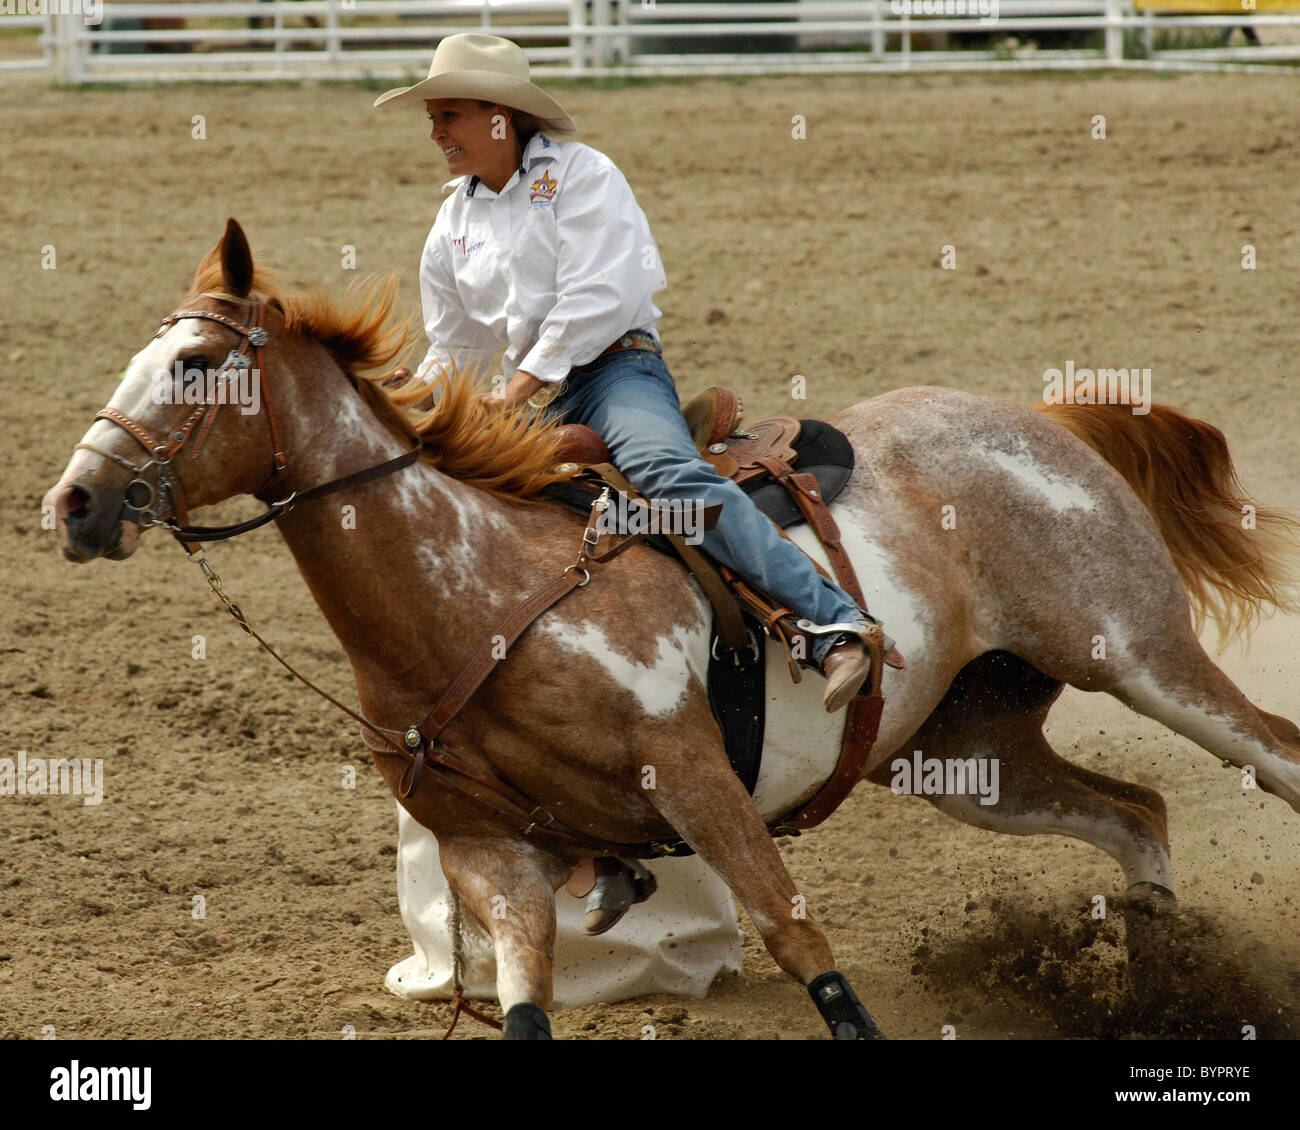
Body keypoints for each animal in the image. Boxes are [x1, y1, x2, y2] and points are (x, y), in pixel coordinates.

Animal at [44, 219, 1300, 1039]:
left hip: (1134, 653)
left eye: (195, 362)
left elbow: (802, 943)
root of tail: (1036, 416)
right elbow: (525, 1004)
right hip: (968, 754)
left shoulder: (697, 775)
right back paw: (1154, 978)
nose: (76, 501)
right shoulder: (489, 849)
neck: (477, 593)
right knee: (1135, 815)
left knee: (1268, 751)